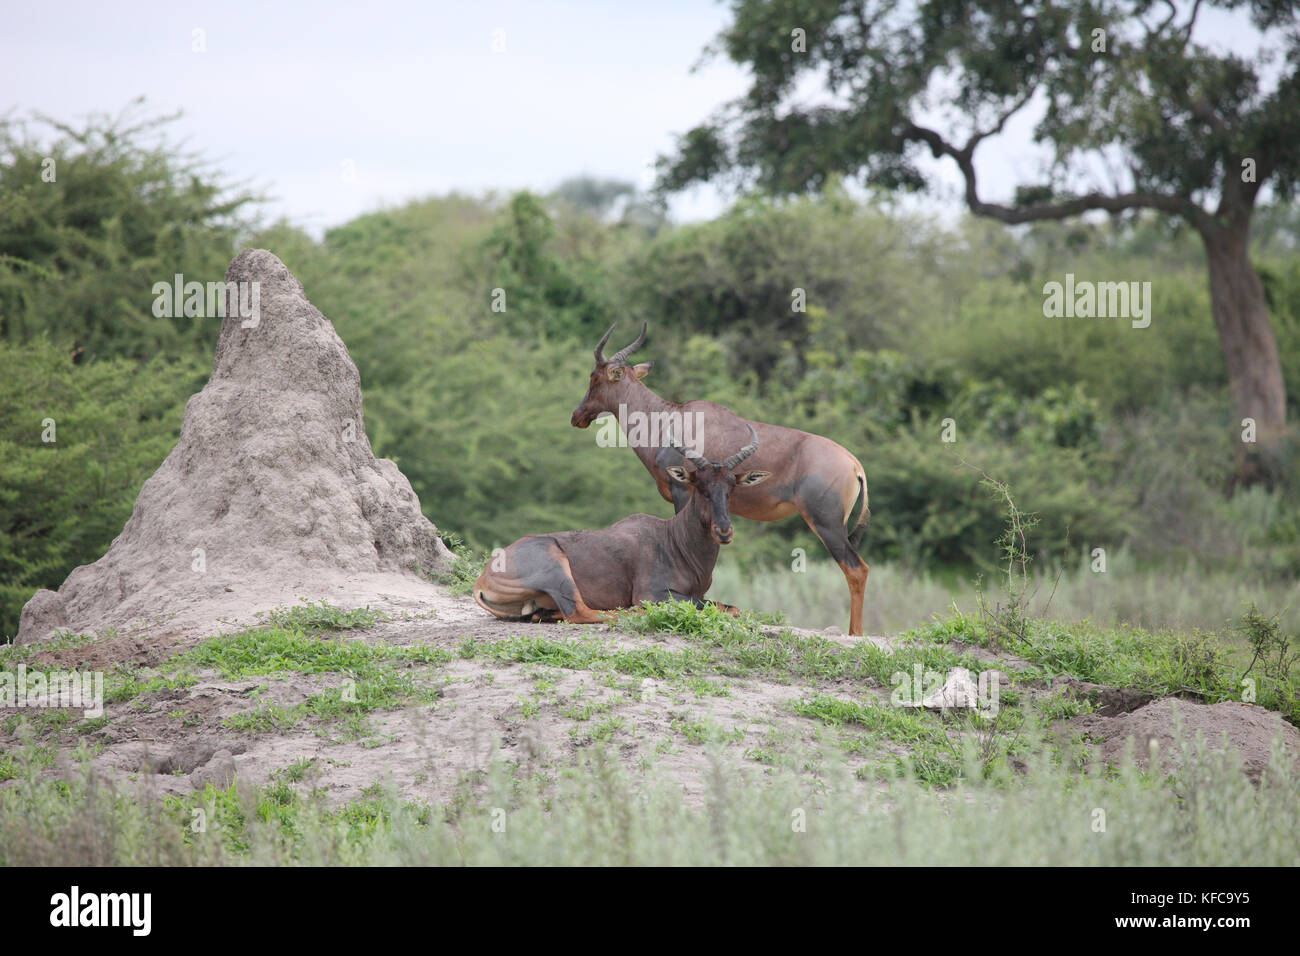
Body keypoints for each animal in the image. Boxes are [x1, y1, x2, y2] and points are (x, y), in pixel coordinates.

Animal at [474, 426, 766, 622]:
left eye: (731, 487)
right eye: (700, 487)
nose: (724, 532)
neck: (672, 539)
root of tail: (483, 579)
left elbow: (731, 607)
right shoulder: (652, 593)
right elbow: (723, 607)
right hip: (558, 571)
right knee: (583, 613)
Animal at [571, 323, 871, 635]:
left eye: (594, 377)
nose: (577, 416)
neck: (669, 419)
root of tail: (854, 464)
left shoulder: (682, 492)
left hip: (826, 523)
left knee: (856, 569)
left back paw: (855, 633)